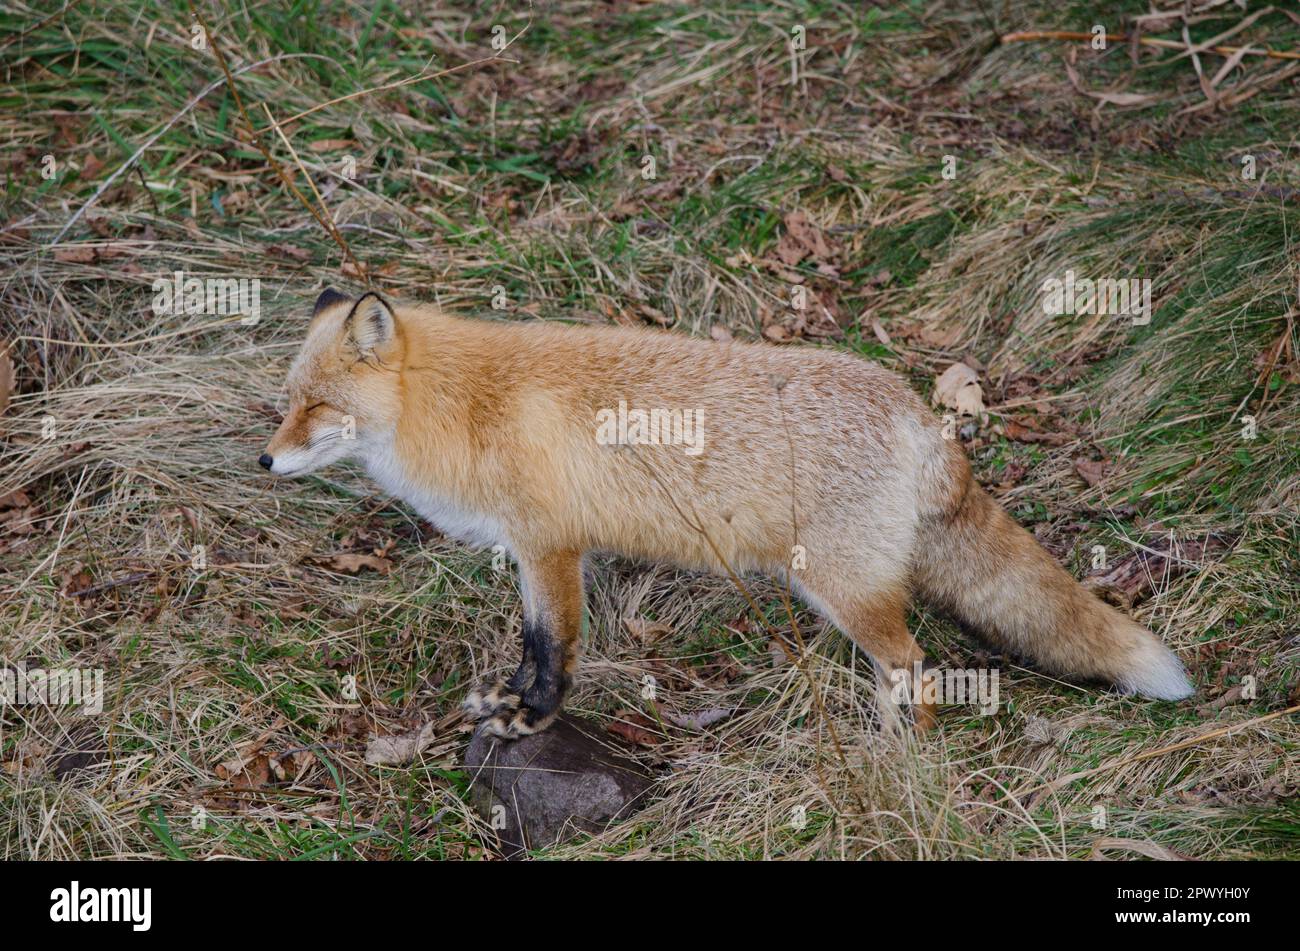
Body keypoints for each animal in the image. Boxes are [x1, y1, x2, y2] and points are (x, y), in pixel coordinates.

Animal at [261, 288, 1194, 739]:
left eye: (317, 407)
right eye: (286, 403)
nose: (265, 460)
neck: (465, 405)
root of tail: (919, 414)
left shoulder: (550, 546)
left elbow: (554, 649)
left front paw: (533, 718)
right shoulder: (535, 553)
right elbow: (530, 644)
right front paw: (509, 701)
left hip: (843, 590)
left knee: (918, 665)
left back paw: (904, 756)